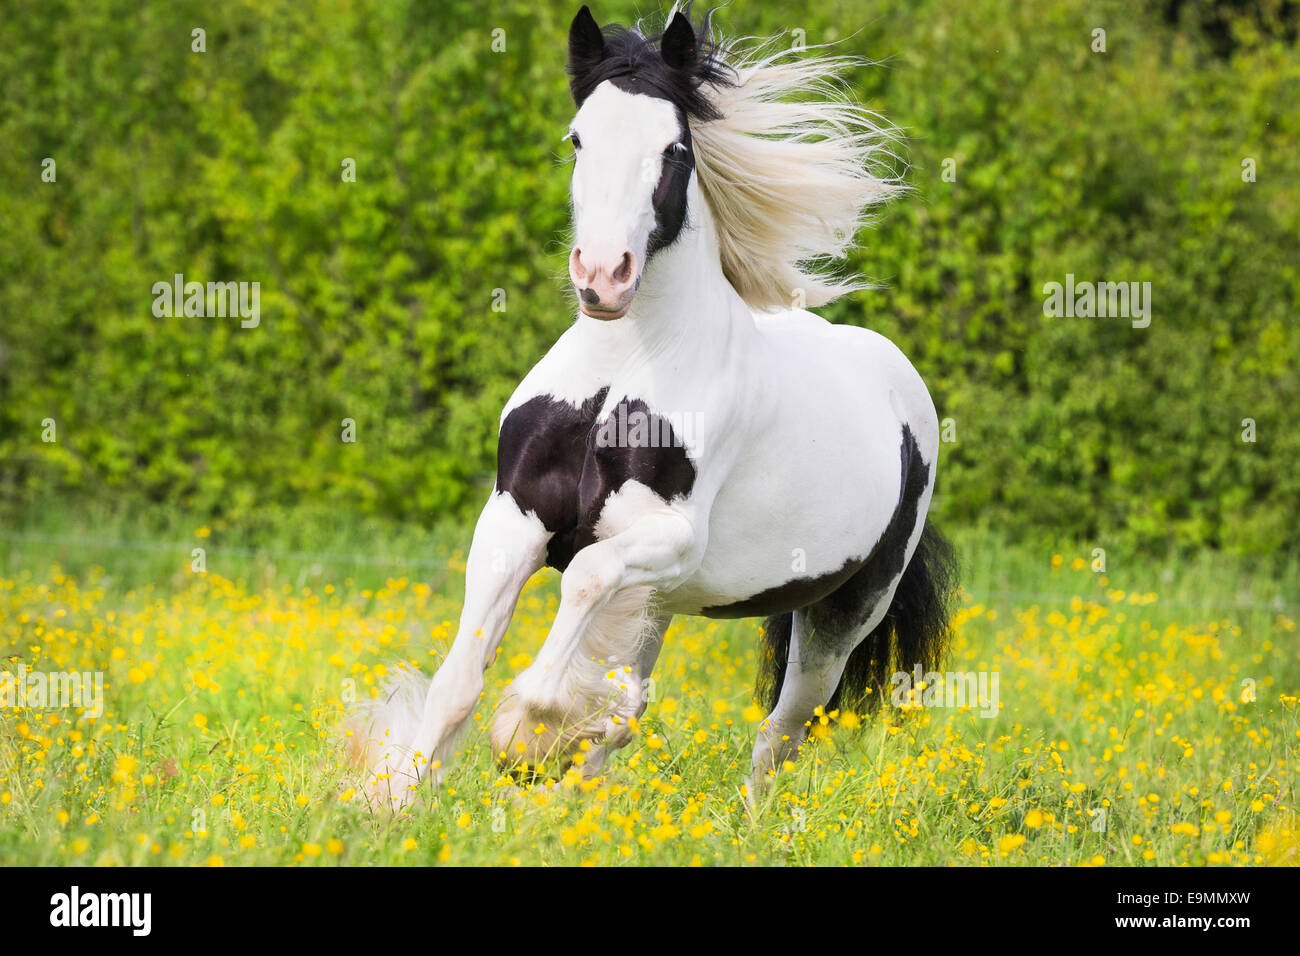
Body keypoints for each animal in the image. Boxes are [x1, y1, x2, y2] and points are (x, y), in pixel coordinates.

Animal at [350, 3, 957, 812]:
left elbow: (580, 581)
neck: (622, 369)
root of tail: (901, 388)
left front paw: (527, 736)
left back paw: (745, 825)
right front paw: (395, 806)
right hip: (658, 602)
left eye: (673, 148)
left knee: (781, 731)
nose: (603, 277)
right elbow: (460, 681)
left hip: (842, 611)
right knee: (633, 703)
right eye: (578, 138)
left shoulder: (667, 537)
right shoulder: (513, 518)